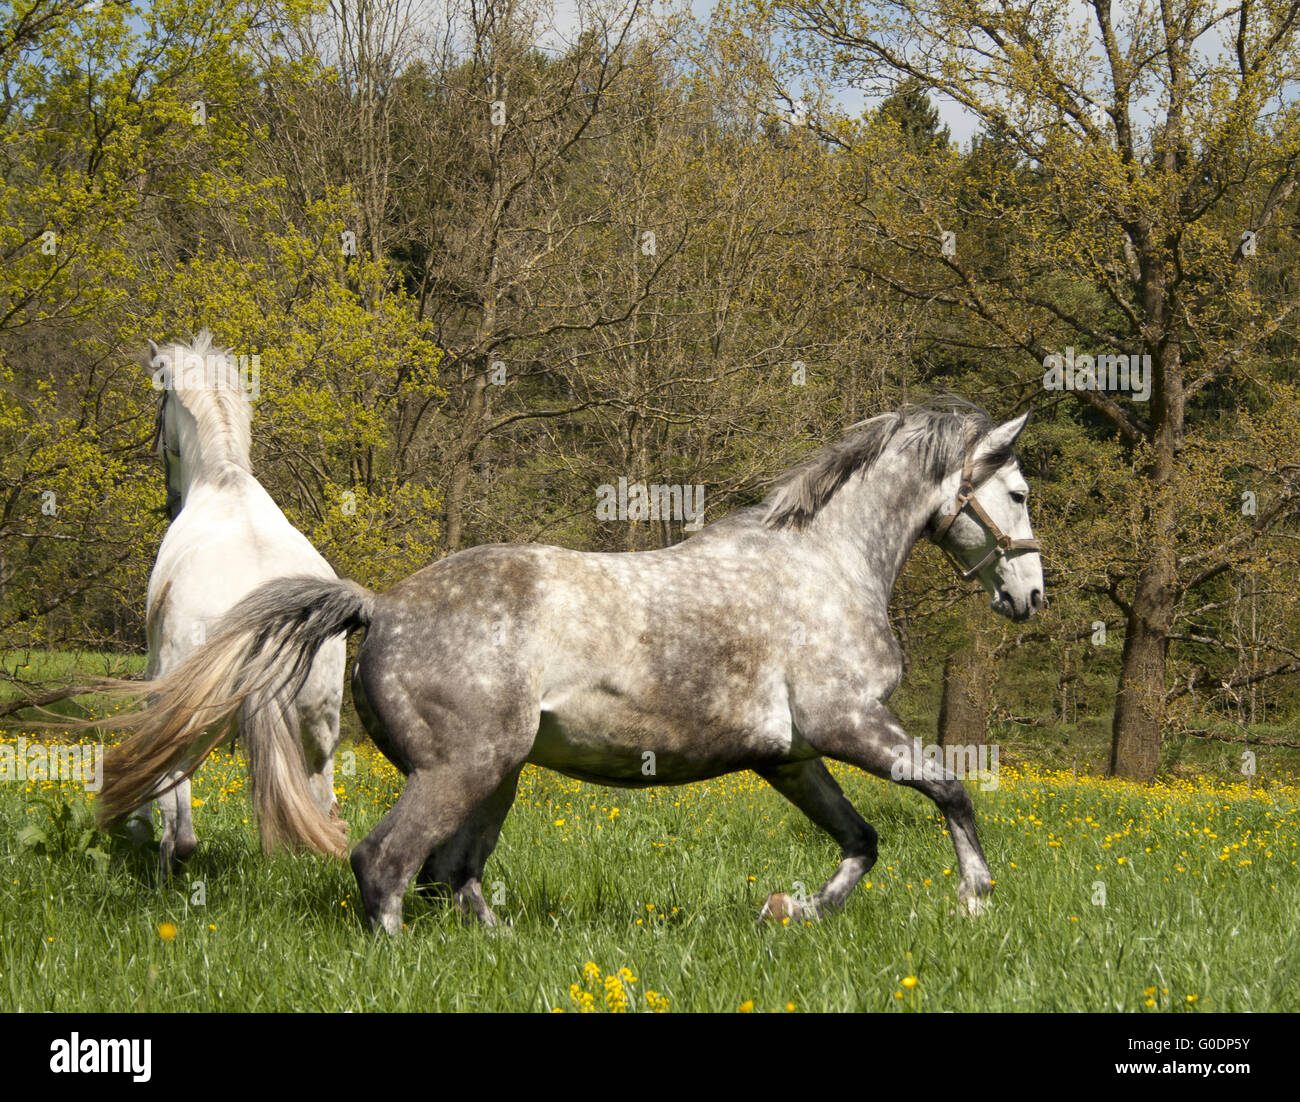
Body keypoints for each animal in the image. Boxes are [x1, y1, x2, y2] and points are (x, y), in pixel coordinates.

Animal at [96, 396, 1043, 931]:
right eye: (1020, 492)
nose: (1031, 593)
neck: (827, 564)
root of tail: (381, 607)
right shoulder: (848, 723)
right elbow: (950, 791)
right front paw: (975, 898)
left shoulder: (790, 757)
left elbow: (861, 841)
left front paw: (793, 910)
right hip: (461, 769)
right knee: (387, 866)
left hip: (498, 775)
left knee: (454, 876)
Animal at [130, 331, 347, 875]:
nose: (170, 500)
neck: (224, 479)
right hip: (319, 727)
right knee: (325, 808)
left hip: (184, 705)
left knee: (179, 817)